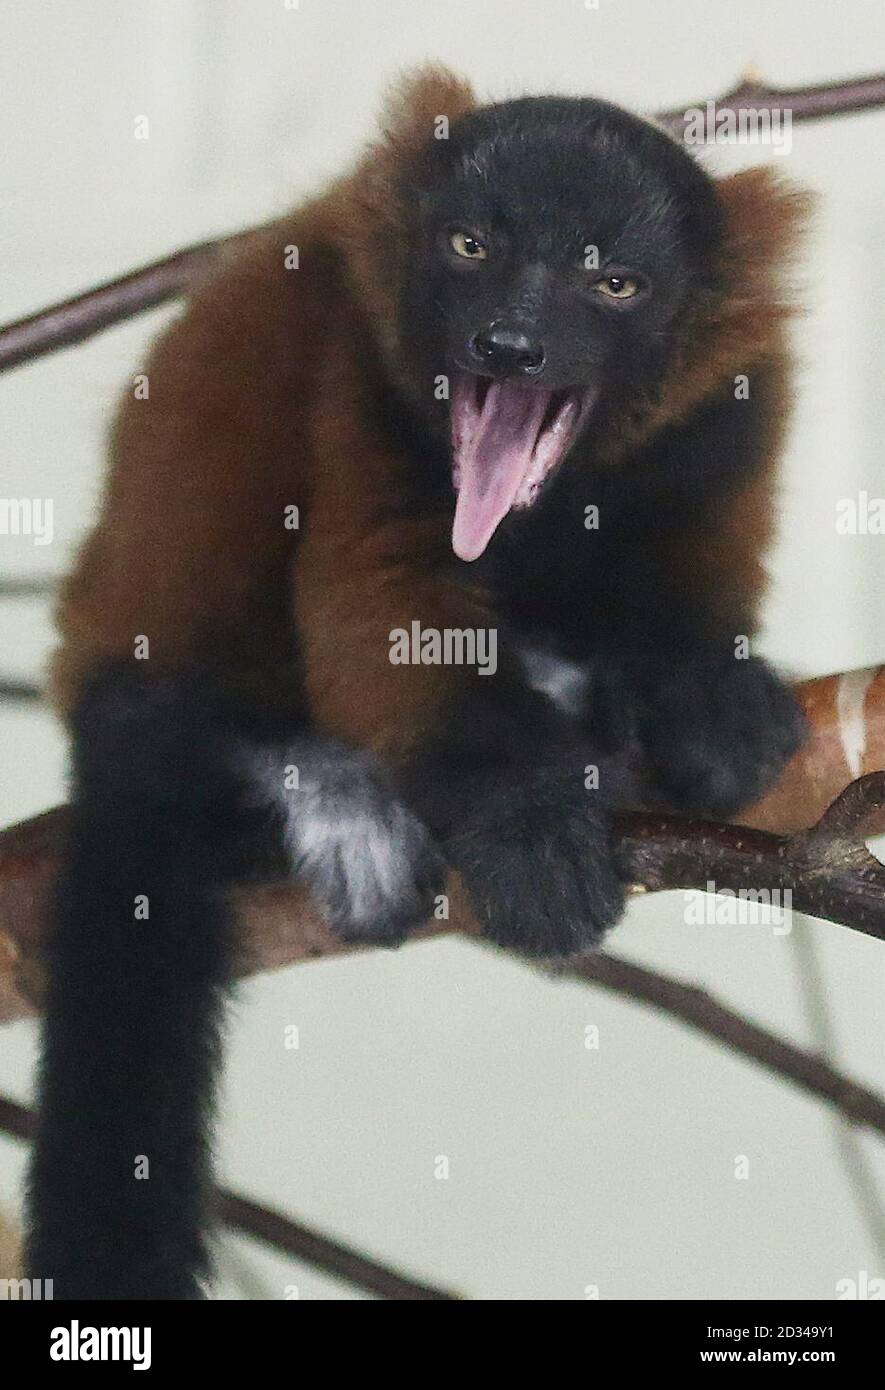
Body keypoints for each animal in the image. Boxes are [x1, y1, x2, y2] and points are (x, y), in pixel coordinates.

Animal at [26, 66, 809, 1299]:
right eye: (471, 246)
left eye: (614, 282)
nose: (511, 342)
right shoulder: (364, 391)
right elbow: (381, 621)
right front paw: (527, 826)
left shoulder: (731, 401)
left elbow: (696, 569)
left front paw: (705, 694)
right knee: (151, 709)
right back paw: (296, 775)